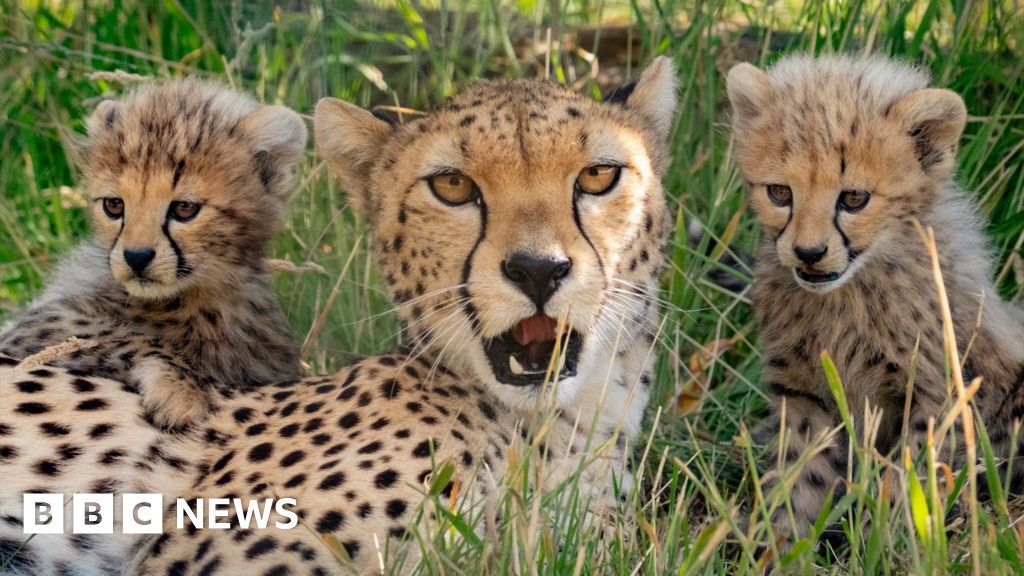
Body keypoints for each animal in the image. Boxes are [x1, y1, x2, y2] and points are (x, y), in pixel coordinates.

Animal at [0, 79, 307, 430]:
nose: (136, 257)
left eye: (184, 208)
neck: (198, 299)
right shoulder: (38, 326)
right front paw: (181, 390)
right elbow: (128, 337)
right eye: (114, 205)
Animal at [726, 54, 1024, 545]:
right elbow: (798, 478)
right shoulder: (806, 399)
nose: (809, 253)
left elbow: (910, 478)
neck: (848, 296)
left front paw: (894, 543)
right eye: (779, 192)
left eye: (853, 198)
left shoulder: (937, 393)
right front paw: (776, 543)